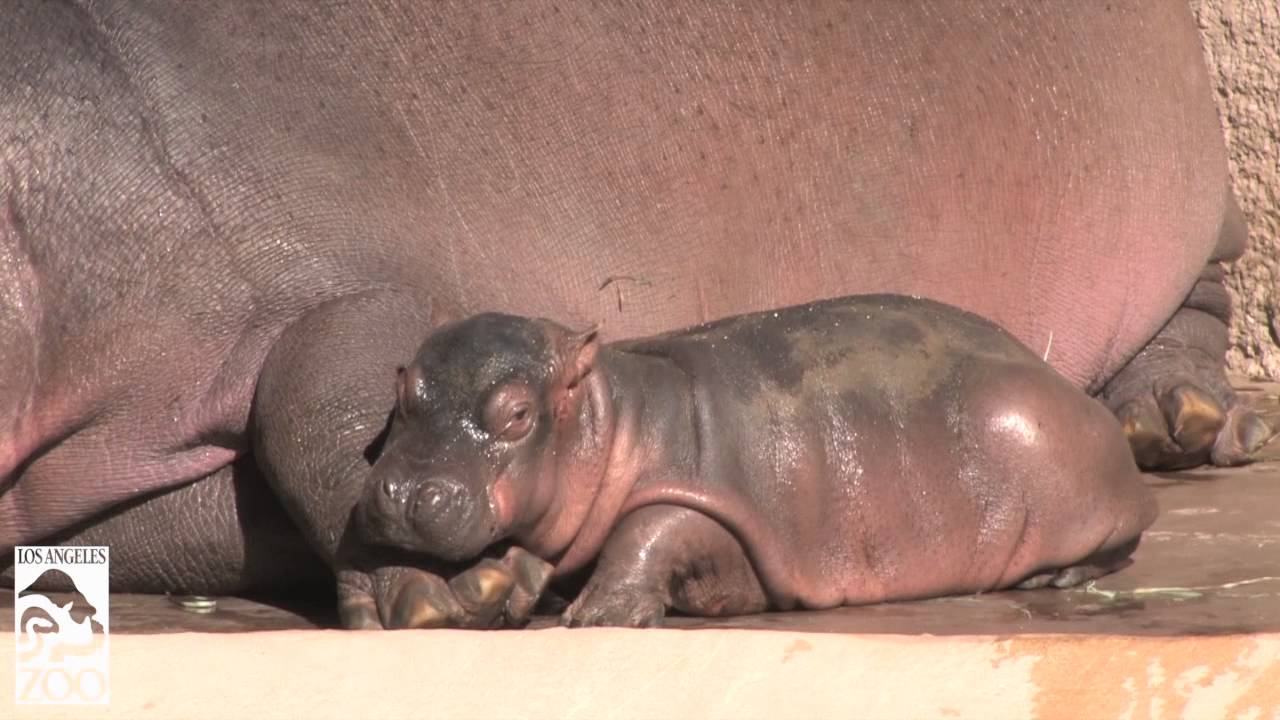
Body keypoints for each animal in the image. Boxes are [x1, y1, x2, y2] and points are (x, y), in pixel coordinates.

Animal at [359, 296, 1158, 626]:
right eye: (402, 389)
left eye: (518, 414)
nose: (404, 491)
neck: (616, 418)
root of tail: (1072, 389)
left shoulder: (702, 496)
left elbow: (648, 531)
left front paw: (598, 615)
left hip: (1054, 462)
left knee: (1112, 546)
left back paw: (1053, 576)